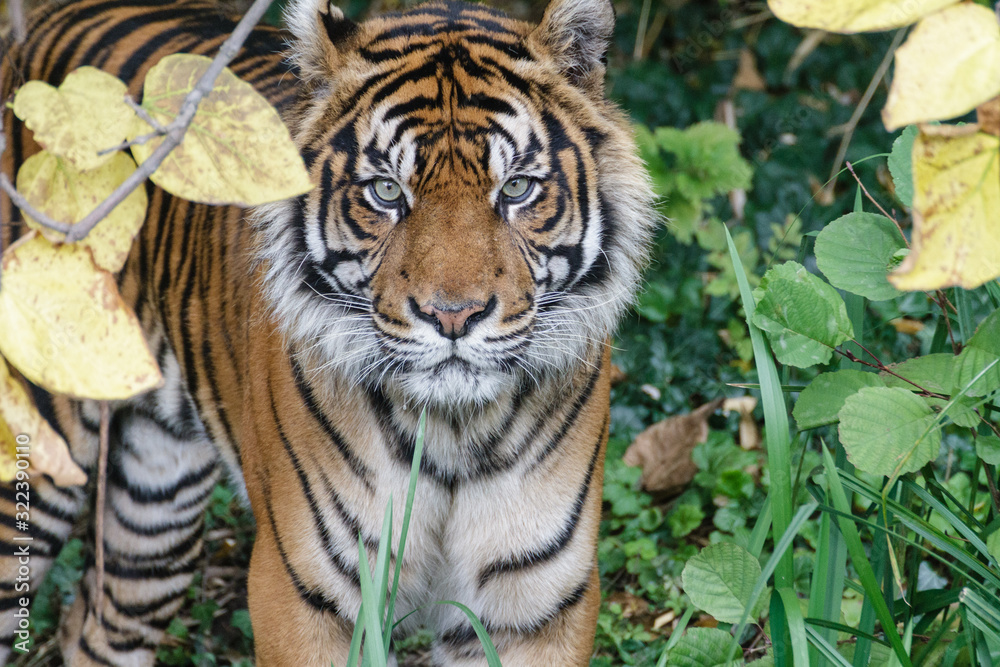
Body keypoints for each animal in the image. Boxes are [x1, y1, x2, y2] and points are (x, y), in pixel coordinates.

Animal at [0, 0, 656, 664]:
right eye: (386, 191)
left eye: (517, 188)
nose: (453, 315)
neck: (453, 434)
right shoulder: (303, 595)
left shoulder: (539, 608)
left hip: (157, 499)